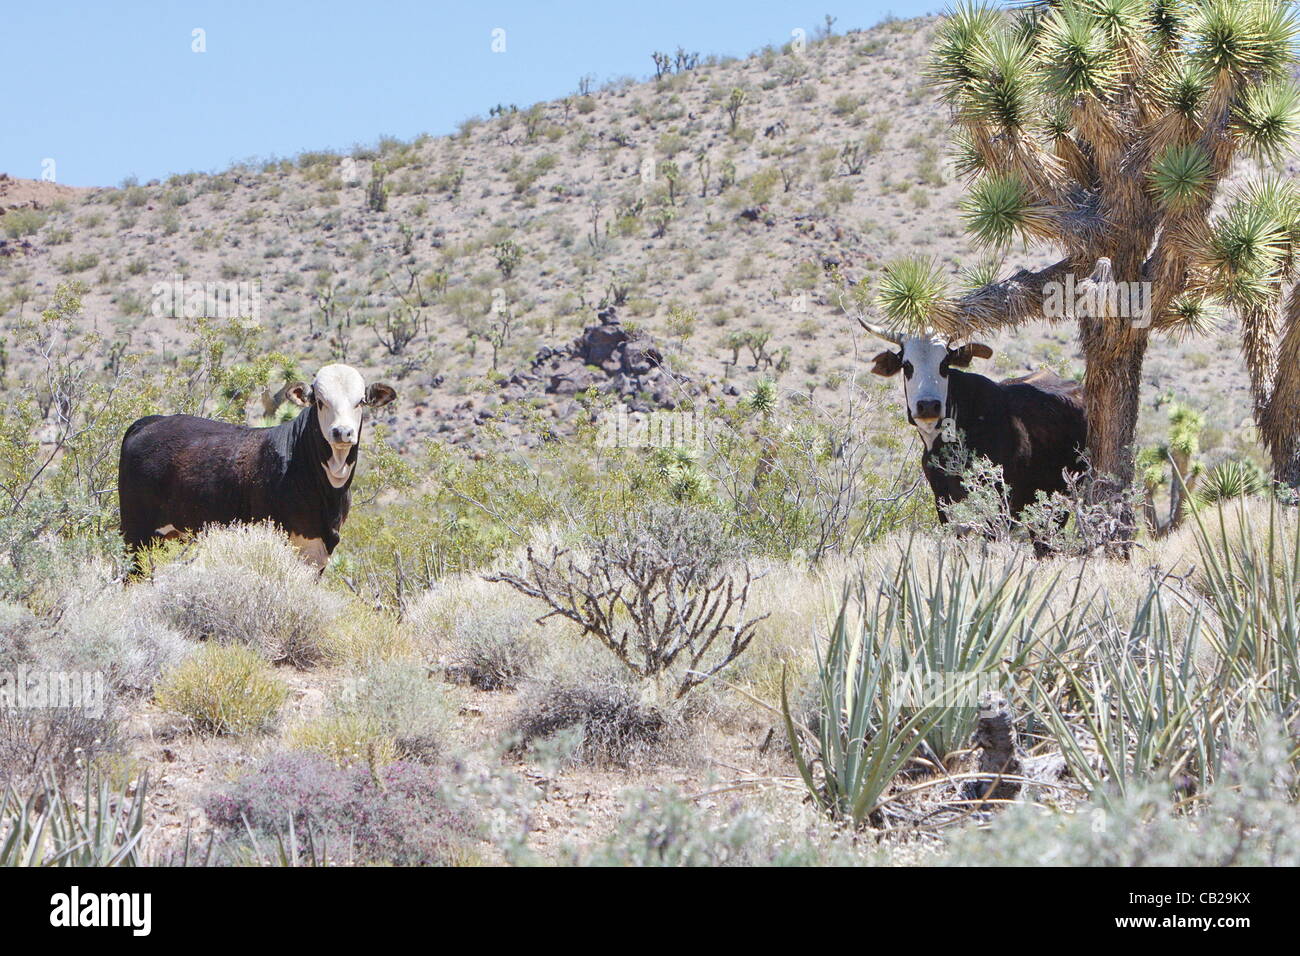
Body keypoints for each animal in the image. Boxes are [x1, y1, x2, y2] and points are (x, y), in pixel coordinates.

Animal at [118, 364, 396, 570]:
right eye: (319, 401)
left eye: (360, 402)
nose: (342, 432)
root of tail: (150, 422)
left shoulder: (320, 549)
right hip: (135, 533)